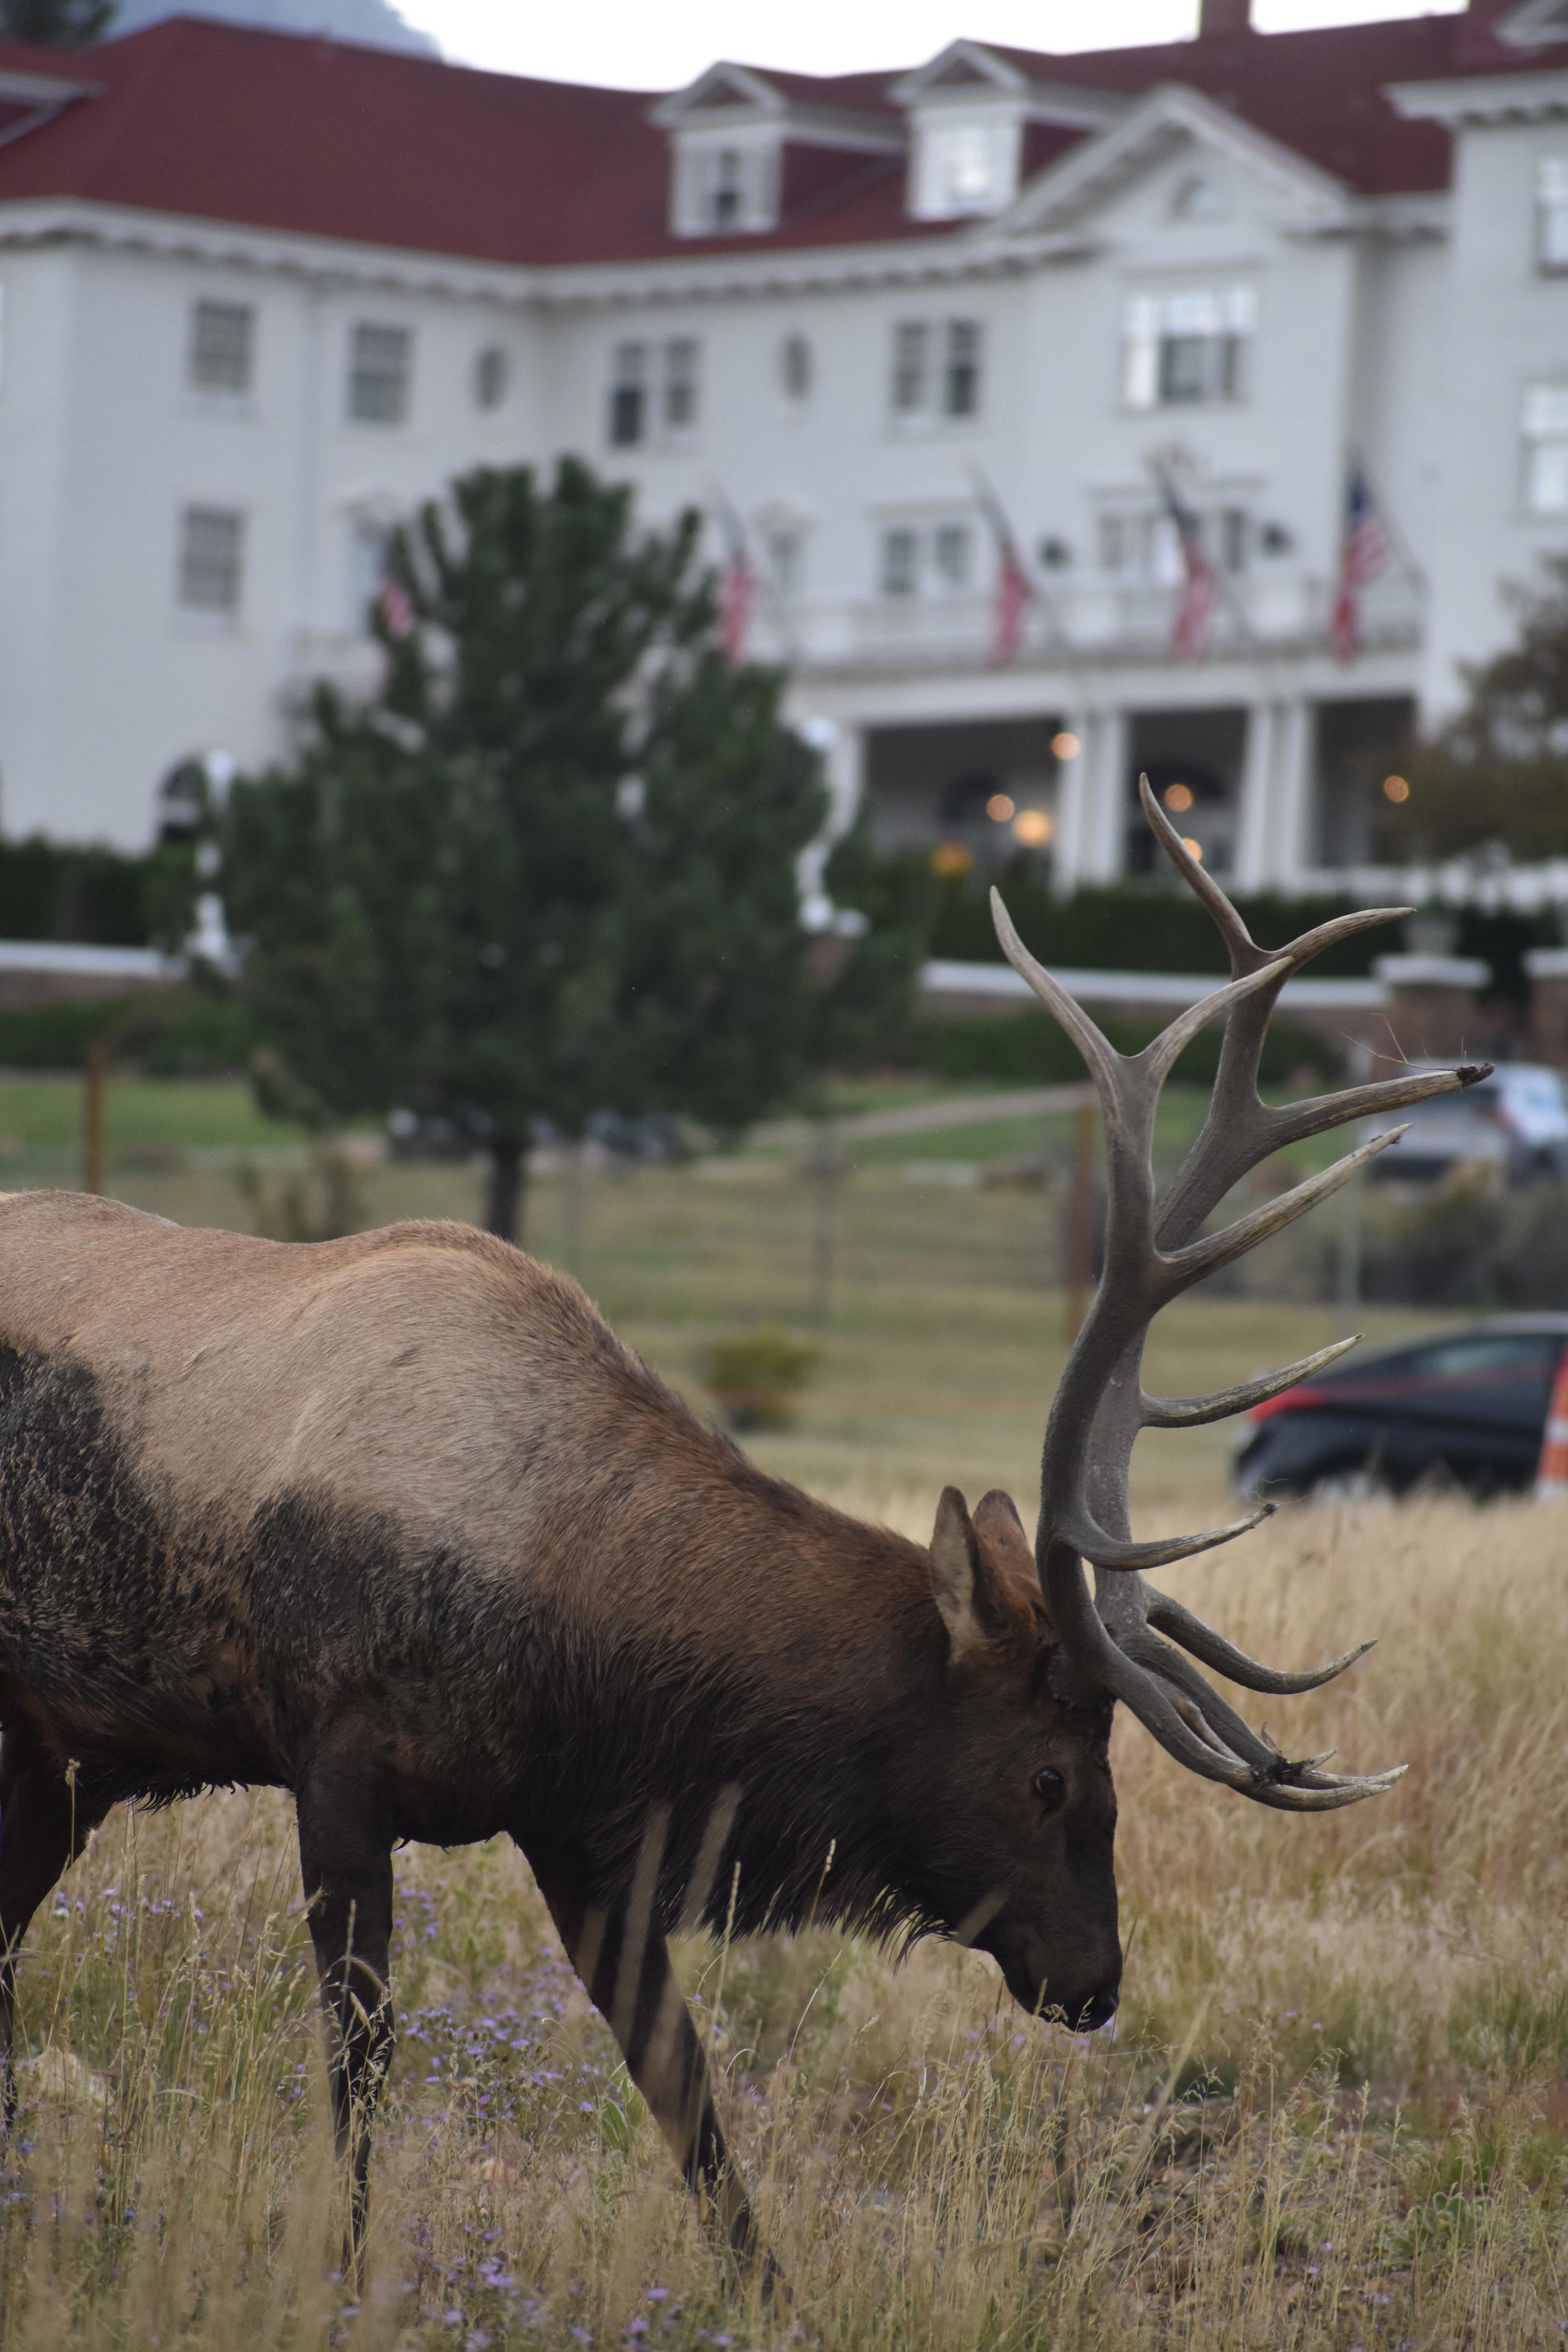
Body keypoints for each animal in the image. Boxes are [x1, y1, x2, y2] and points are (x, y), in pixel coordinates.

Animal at [0, 780, 1476, 2282]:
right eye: (1049, 1778)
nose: (1097, 1984)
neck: (574, 1635)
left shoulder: (579, 1821)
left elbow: (688, 2097)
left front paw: (769, 2293)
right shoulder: (338, 1756)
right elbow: (363, 2066)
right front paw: (347, 2278)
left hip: (57, 1749)